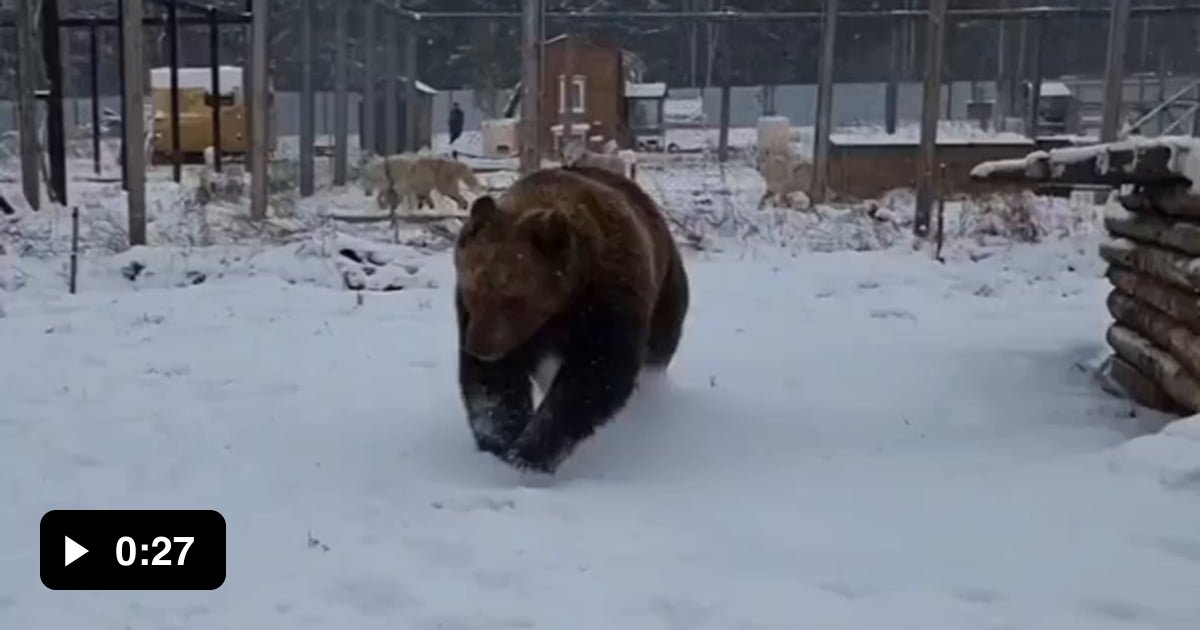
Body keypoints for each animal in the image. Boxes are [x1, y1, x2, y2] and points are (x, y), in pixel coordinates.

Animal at [452, 165, 689, 474]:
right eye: (473, 290)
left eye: (511, 296)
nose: (479, 346)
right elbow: (493, 385)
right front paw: (500, 443)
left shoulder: (604, 306)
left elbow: (595, 375)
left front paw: (530, 453)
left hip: (666, 293)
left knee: (655, 356)